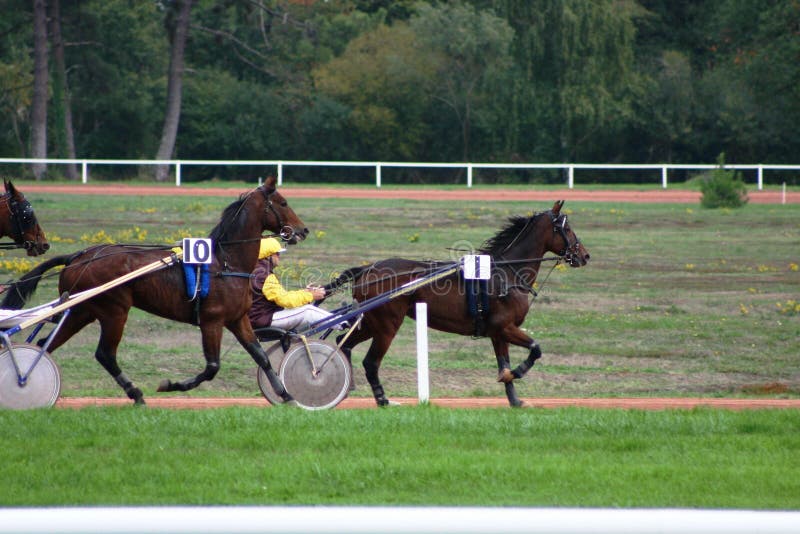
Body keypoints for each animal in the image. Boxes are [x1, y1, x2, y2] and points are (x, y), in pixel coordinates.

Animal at [0, 176, 308, 405]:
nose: (303, 230)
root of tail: (79, 256)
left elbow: (261, 356)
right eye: (283, 202)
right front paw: (171, 385)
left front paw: (287, 395)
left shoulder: (237, 319)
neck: (225, 261)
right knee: (105, 353)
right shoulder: (212, 320)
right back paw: (134, 393)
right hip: (114, 311)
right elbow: (212, 367)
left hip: (82, 311)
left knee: (46, 344)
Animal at [323, 200, 590, 407]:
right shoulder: (505, 326)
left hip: (371, 321)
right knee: (370, 362)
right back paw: (382, 399)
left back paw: (347, 386)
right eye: (567, 228)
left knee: (343, 342)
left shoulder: (498, 332)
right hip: (387, 325)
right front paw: (516, 373)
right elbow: (535, 349)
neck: (507, 273)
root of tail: (367, 269)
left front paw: (514, 397)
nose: (584, 255)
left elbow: (503, 363)